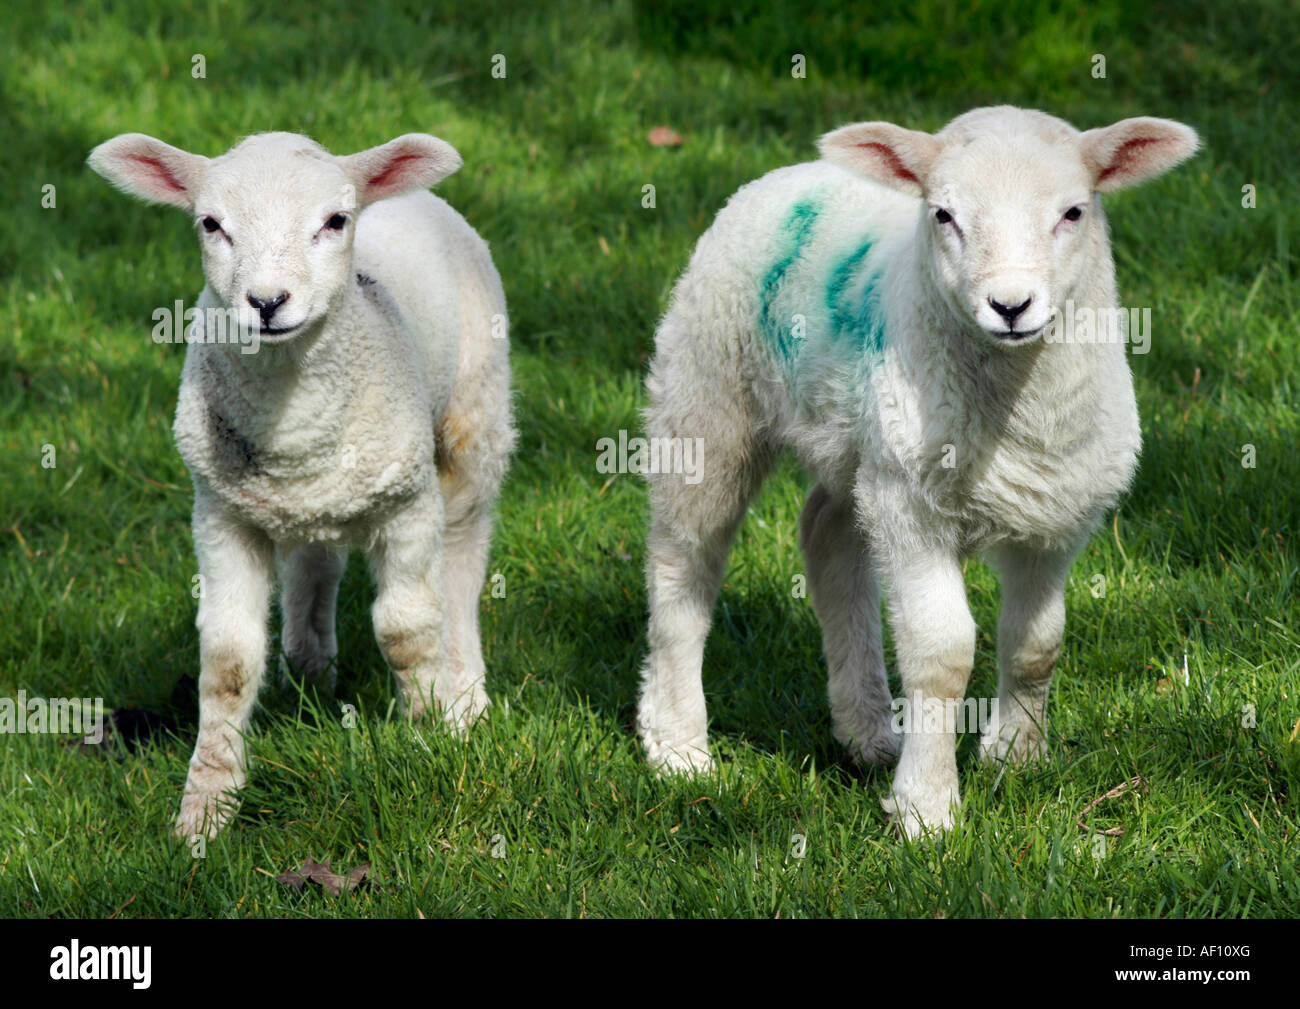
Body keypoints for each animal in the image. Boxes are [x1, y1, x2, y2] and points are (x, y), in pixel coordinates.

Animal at [88, 131, 516, 839]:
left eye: (334, 221)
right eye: (211, 224)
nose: (267, 302)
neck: (293, 415)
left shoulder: (408, 504)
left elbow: (406, 631)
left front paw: (428, 738)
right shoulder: (221, 513)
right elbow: (228, 661)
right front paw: (205, 810)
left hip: (472, 422)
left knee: (461, 558)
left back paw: (464, 694)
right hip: (308, 499)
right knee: (316, 563)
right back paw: (313, 673)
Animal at [636, 106, 1197, 839]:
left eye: (1074, 212)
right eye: (944, 215)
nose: (1010, 305)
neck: (1016, 407)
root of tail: (798, 169)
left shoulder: (1057, 518)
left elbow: (1037, 641)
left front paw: (1016, 754)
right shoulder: (911, 509)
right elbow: (943, 653)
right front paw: (926, 810)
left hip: (863, 444)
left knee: (827, 533)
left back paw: (867, 730)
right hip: (707, 393)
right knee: (683, 566)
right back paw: (678, 745)